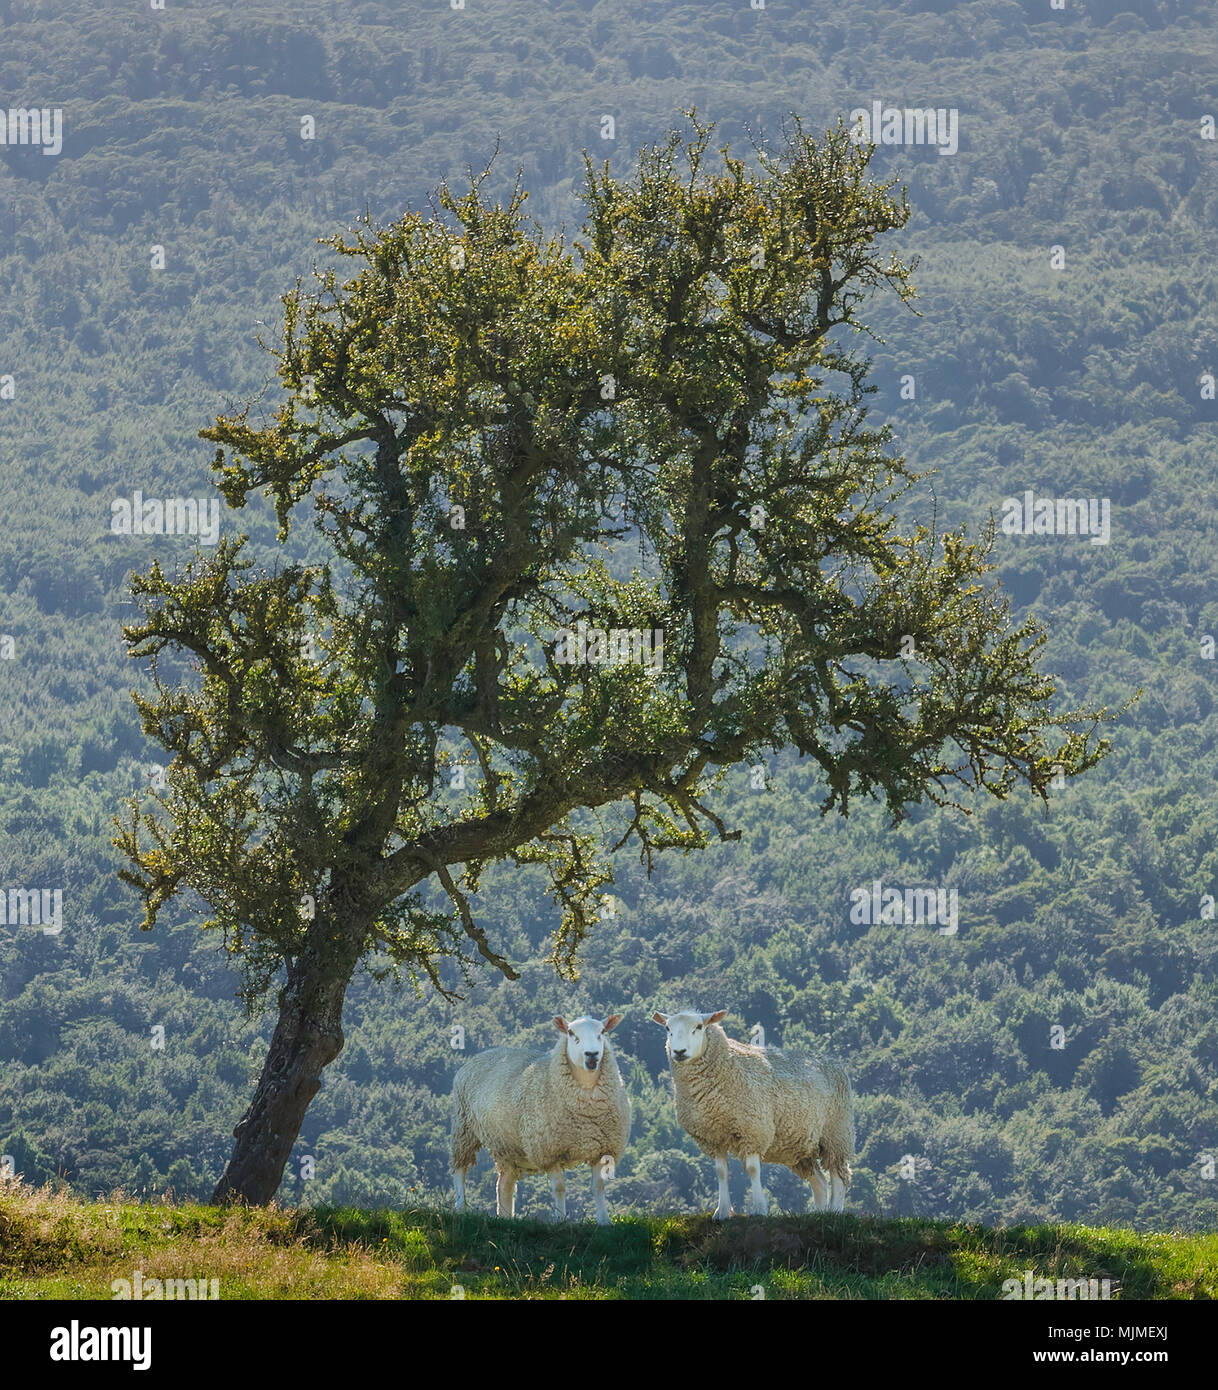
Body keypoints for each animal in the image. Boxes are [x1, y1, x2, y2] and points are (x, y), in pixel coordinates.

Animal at [451, 1013, 630, 1224]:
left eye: (602, 1032)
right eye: (571, 1033)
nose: (592, 1054)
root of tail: (480, 1055)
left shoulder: (603, 1149)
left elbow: (599, 1187)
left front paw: (604, 1221)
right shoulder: (548, 1151)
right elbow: (559, 1188)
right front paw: (560, 1220)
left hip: (507, 1146)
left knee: (504, 1184)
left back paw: (505, 1217)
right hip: (463, 1127)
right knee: (460, 1169)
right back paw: (461, 1207)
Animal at [652, 1008, 854, 1219]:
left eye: (698, 1027)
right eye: (667, 1028)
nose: (679, 1052)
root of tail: (832, 1062)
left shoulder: (753, 1130)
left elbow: (752, 1169)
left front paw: (758, 1208)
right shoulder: (713, 1137)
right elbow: (721, 1172)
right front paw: (722, 1211)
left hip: (836, 1133)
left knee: (839, 1176)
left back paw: (835, 1212)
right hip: (799, 1146)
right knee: (819, 1181)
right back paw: (818, 1214)